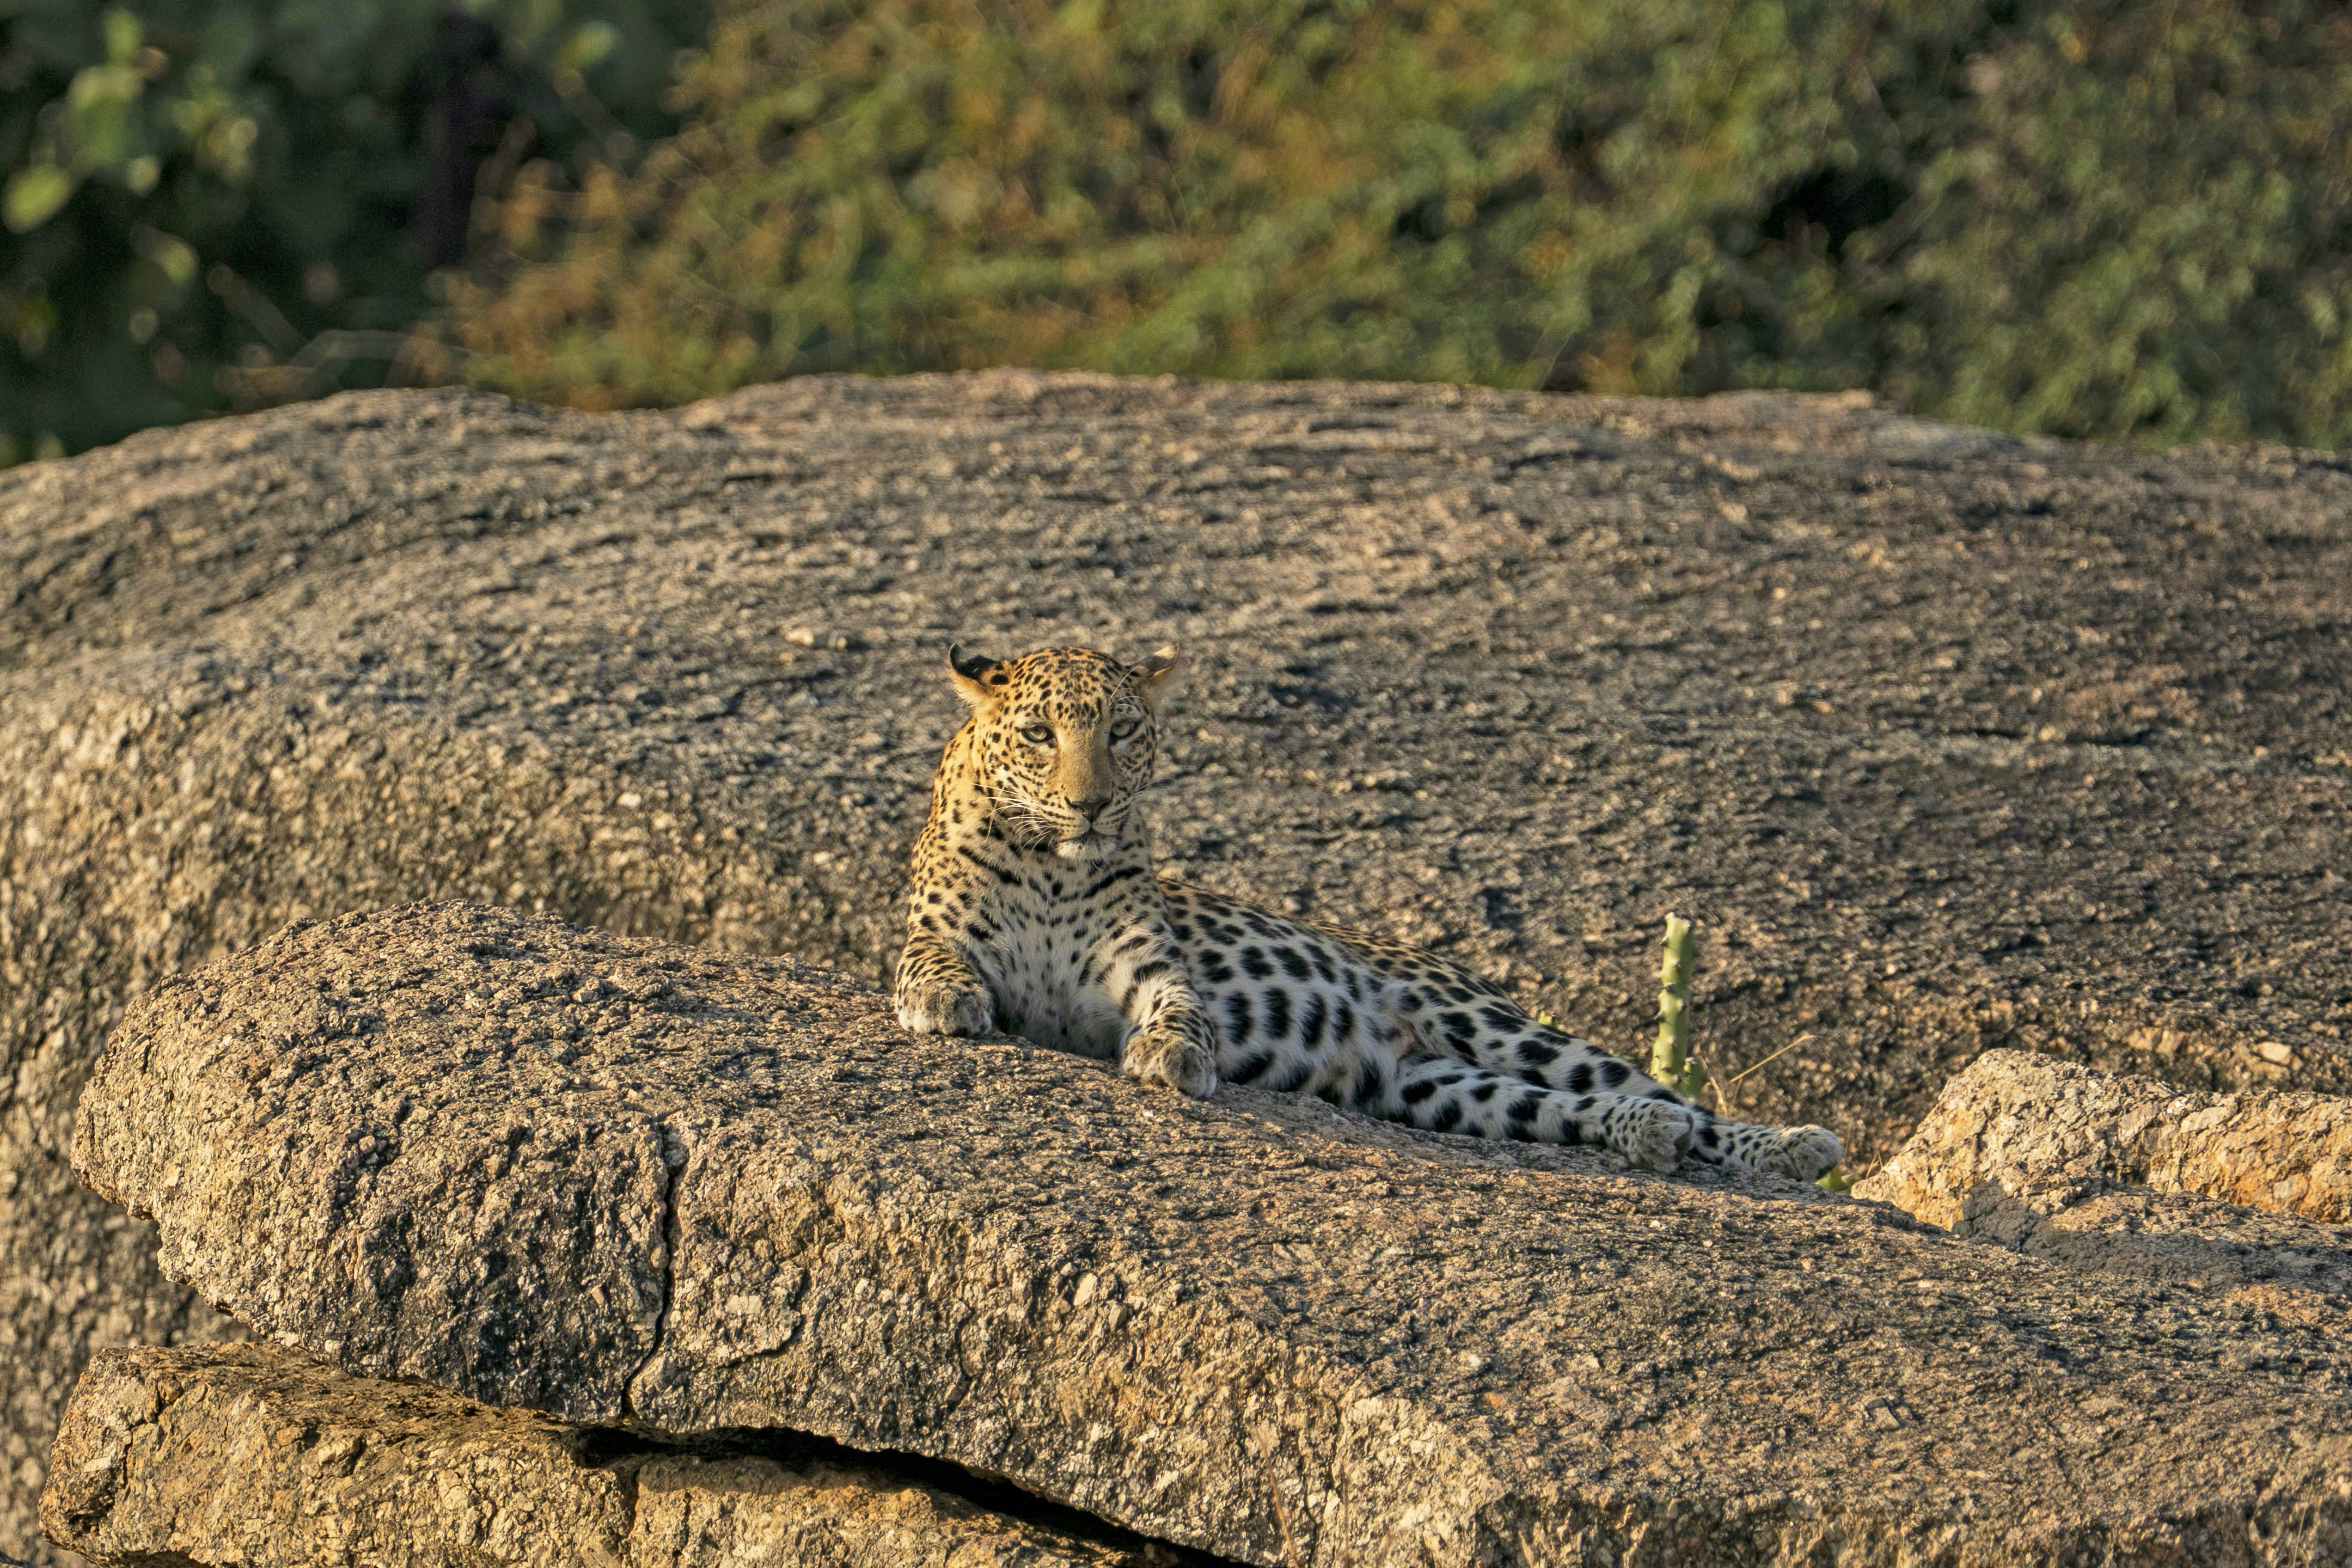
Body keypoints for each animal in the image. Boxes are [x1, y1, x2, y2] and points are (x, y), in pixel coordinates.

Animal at [893, 642, 1843, 1180]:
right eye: (1039, 735)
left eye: (1122, 731)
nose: (1091, 806)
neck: (1054, 868)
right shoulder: (932, 934)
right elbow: (932, 964)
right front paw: (947, 1003)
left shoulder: (1149, 965)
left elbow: (1184, 1010)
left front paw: (1173, 1056)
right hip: (1434, 1090)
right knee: (1575, 1111)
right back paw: (1651, 1137)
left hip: (1498, 1027)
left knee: (1676, 1099)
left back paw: (1787, 1146)